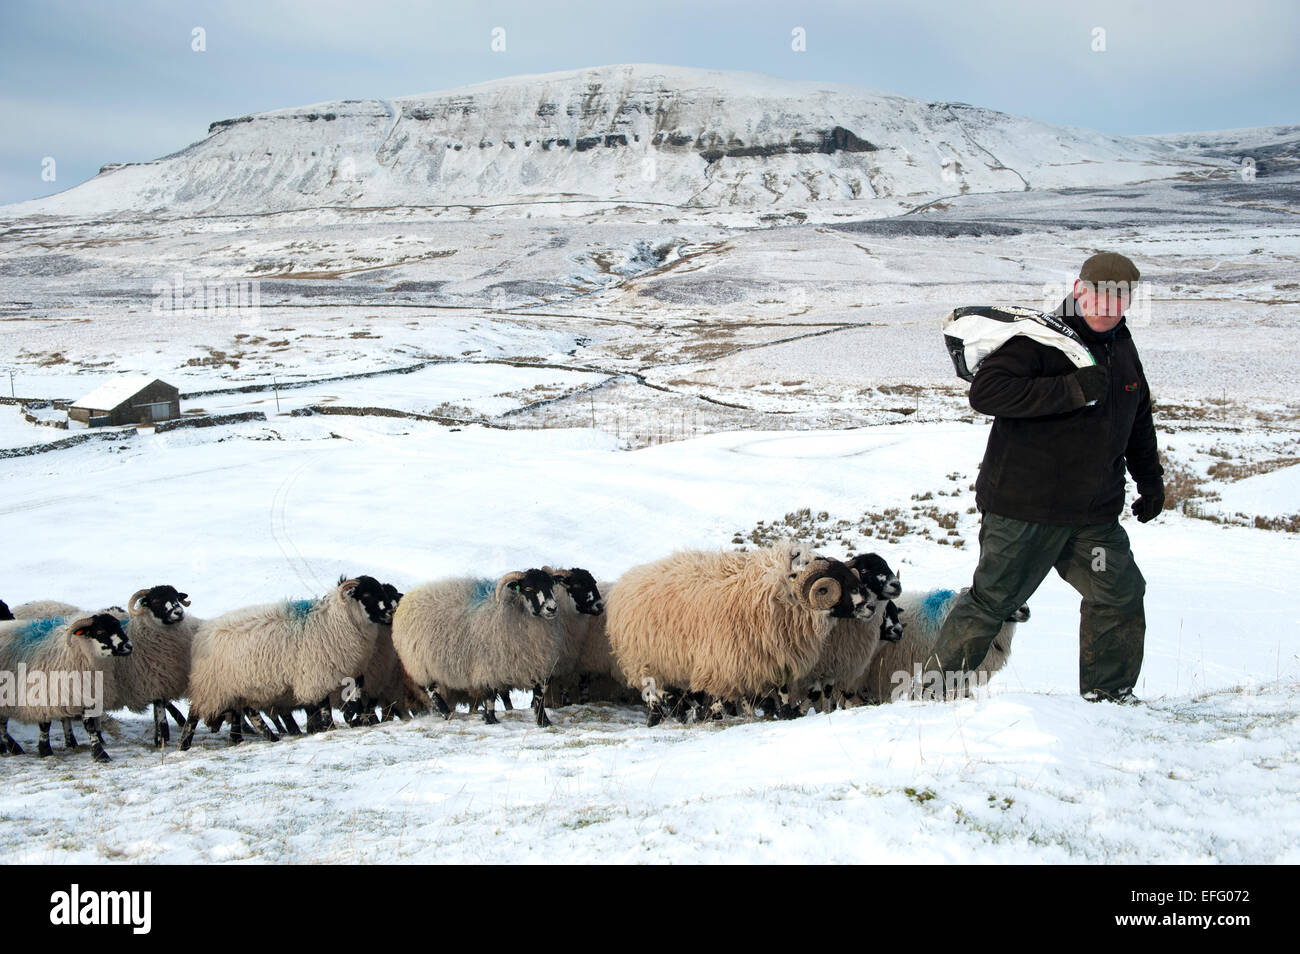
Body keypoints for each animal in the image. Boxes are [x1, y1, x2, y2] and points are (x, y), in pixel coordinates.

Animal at [0, 613, 132, 762]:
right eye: (100, 632)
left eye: (118, 626)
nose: (129, 646)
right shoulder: (44, 695)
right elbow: (45, 725)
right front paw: (45, 750)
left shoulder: (83, 693)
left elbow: (88, 725)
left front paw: (98, 752)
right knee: (2, 724)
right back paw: (13, 747)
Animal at [103, 586, 197, 748]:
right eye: (156, 600)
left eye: (176, 597)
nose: (178, 612)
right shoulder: (153, 679)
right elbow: (160, 711)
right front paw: (160, 739)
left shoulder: (164, 679)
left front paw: (161, 736)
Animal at [178, 575, 395, 750]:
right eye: (366, 595)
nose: (390, 613)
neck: (336, 621)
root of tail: (203, 633)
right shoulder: (317, 675)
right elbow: (324, 707)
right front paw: (329, 727)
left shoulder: (353, 671)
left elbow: (355, 700)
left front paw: (358, 721)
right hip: (212, 685)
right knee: (194, 713)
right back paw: (184, 745)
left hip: (241, 686)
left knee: (247, 712)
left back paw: (255, 738)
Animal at [391, 568, 562, 728]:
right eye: (528, 588)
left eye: (551, 585)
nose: (552, 608)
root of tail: (406, 600)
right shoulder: (490, 666)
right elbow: (490, 696)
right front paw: (491, 719)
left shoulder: (538, 664)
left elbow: (539, 696)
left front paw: (543, 721)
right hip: (420, 663)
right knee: (431, 690)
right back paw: (446, 713)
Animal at [605, 546, 874, 725]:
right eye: (841, 584)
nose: (871, 606)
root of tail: (628, 578)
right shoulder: (719, 658)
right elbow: (718, 694)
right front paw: (715, 716)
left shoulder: (772, 657)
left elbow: (779, 691)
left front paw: (783, 713)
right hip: (644, 660)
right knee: (654, 690)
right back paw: (663, 715)